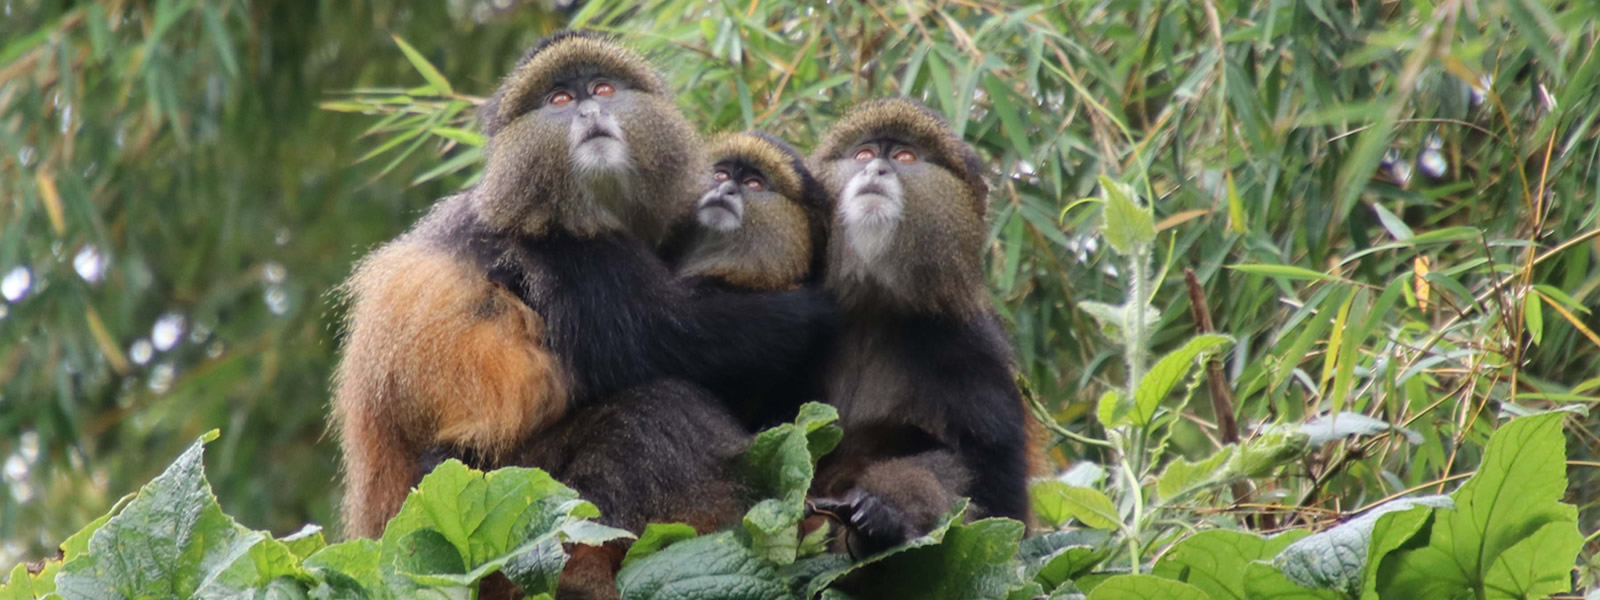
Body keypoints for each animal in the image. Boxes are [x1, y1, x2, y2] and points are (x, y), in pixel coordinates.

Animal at [330, 31, 836, 545]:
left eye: (603, 89)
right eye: (560, 100)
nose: (589, 112)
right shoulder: (560, 250)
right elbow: (661, 339)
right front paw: (816, 306)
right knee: (653, 408)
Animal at [804, 98, 1031, 557]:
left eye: (905, 157)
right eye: (864, 155)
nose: (877, 170)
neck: (871, 300)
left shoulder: (967, 342)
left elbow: (991, 482)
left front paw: (883, 514)